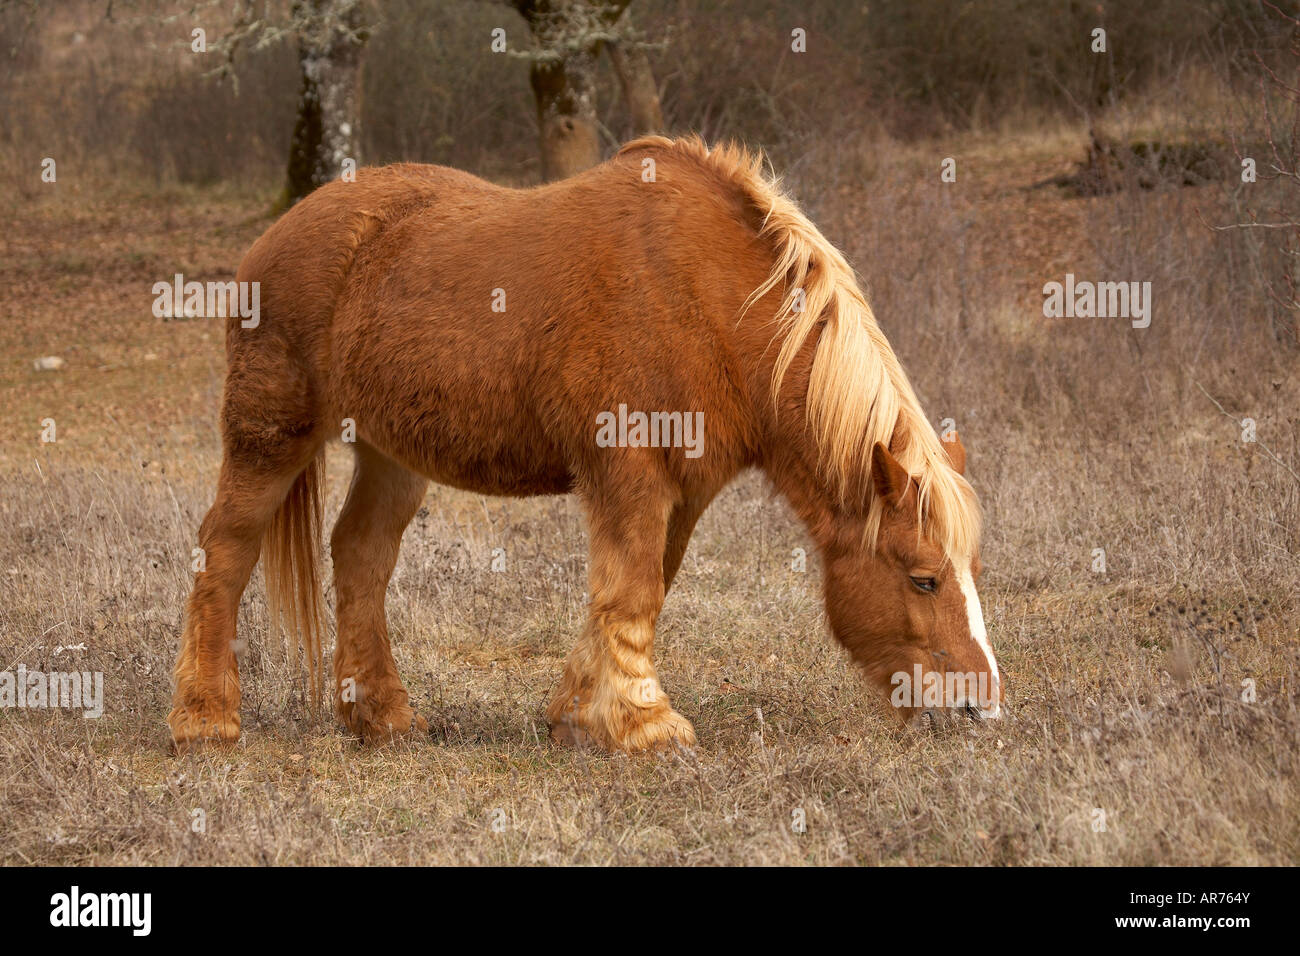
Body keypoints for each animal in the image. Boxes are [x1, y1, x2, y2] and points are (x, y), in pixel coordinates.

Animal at [167, 135, 1002, 753]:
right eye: (925, 579)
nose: (980, 708)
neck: (707, 299)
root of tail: (272, 240)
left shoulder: (684, 490)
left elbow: (642, 587)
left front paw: (575, 715)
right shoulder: (628, 472)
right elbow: (630, 590)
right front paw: (646, 725)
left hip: (390, 454)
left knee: (360, 556)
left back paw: (382, 716)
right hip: (270, 434)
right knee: (227, 549)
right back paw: (206, 719)